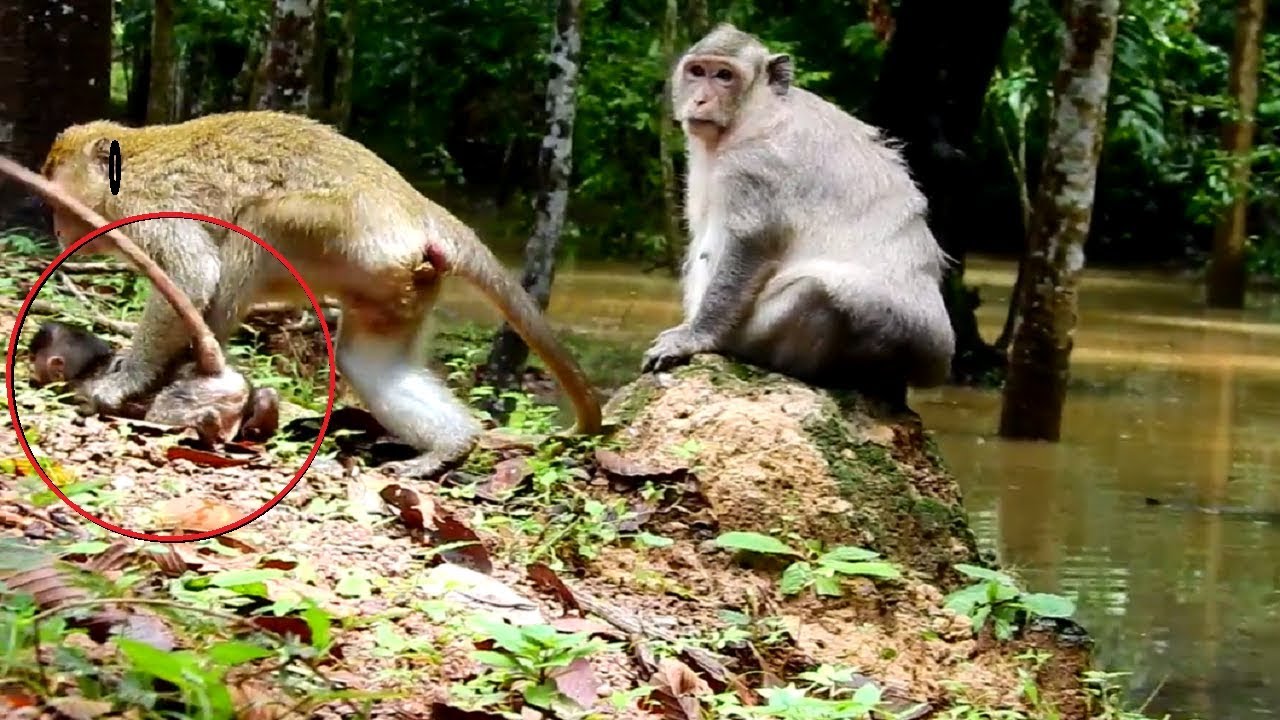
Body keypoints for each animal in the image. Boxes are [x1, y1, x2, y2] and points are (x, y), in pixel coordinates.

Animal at [27, 320, 281, 446]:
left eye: (33, 359)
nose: (30, 373)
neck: (94, 365)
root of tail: (216, 371)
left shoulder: (79, 391)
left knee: (160, 413)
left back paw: (206, 425)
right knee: (266, 396)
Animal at [641, 24, 956, 407]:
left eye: (725, 76)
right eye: (697, 72)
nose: (700, 100)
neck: (758, 110)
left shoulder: (755, 164)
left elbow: (749, 242)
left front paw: (695, 335)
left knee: (817, 292)